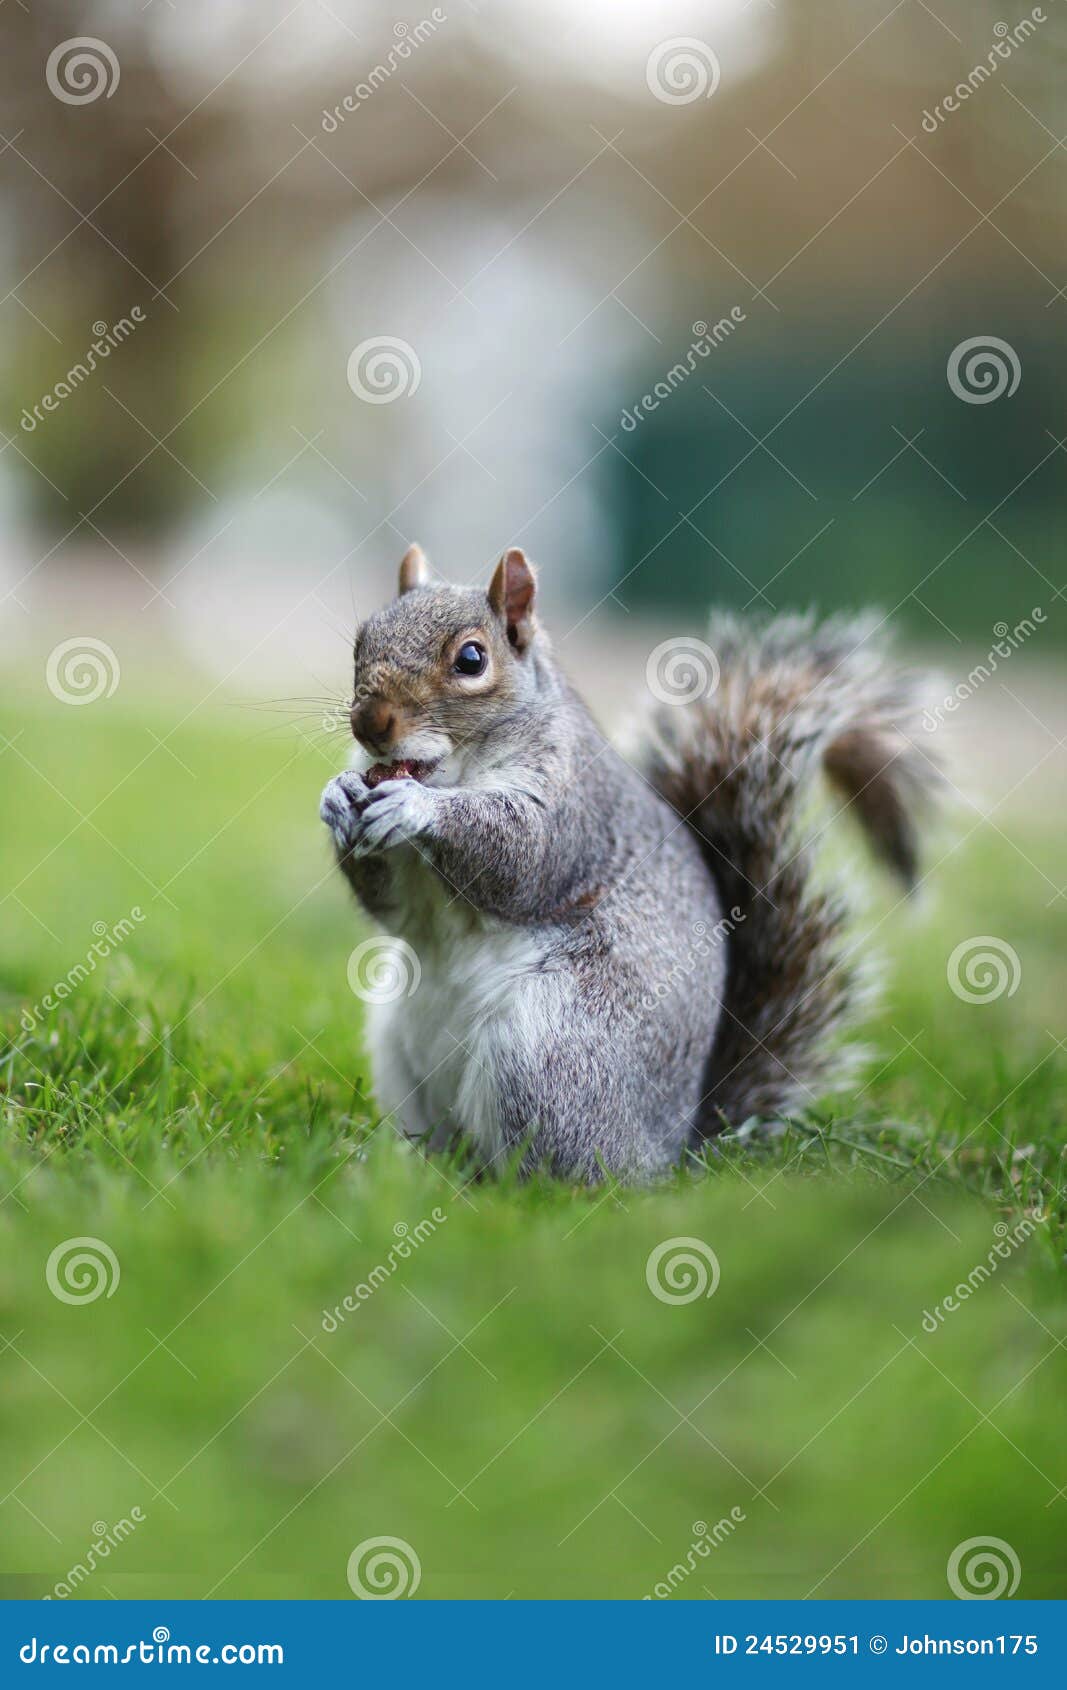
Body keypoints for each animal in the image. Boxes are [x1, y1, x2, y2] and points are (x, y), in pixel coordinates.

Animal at [320, 542, 940, 1183]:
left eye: (472, 658)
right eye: (361, 641)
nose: (369, 723)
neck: (457, 770)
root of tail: (670, 1148)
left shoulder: (573, 806)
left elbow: (523, 858)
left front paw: (419, 807)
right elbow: (393, 908)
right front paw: (338, 796)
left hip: (549, 1052)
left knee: (559, 1172)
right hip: (398, 1048)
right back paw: (411, 1168)